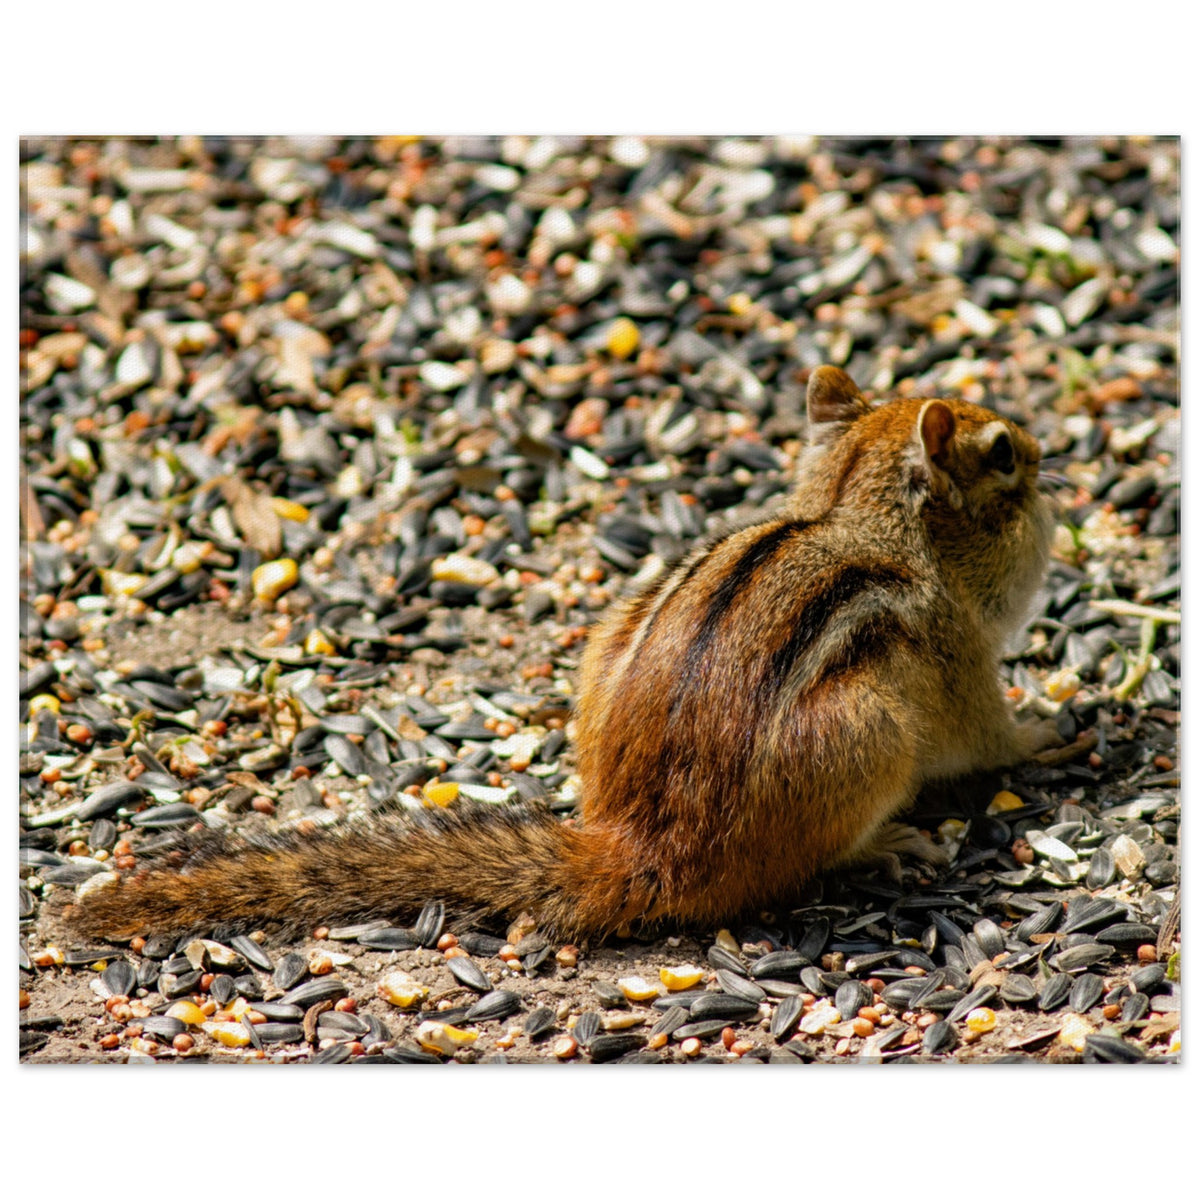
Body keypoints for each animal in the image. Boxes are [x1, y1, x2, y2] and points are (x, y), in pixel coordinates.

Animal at [67, 366, 1057, 944]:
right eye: (1003, 453)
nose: (1048, 449)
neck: (858, 517)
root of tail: (643, 844)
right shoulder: (962, 660)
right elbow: (992, 740)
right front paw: (1060, 728)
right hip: (870, 732)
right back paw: (891, 841)